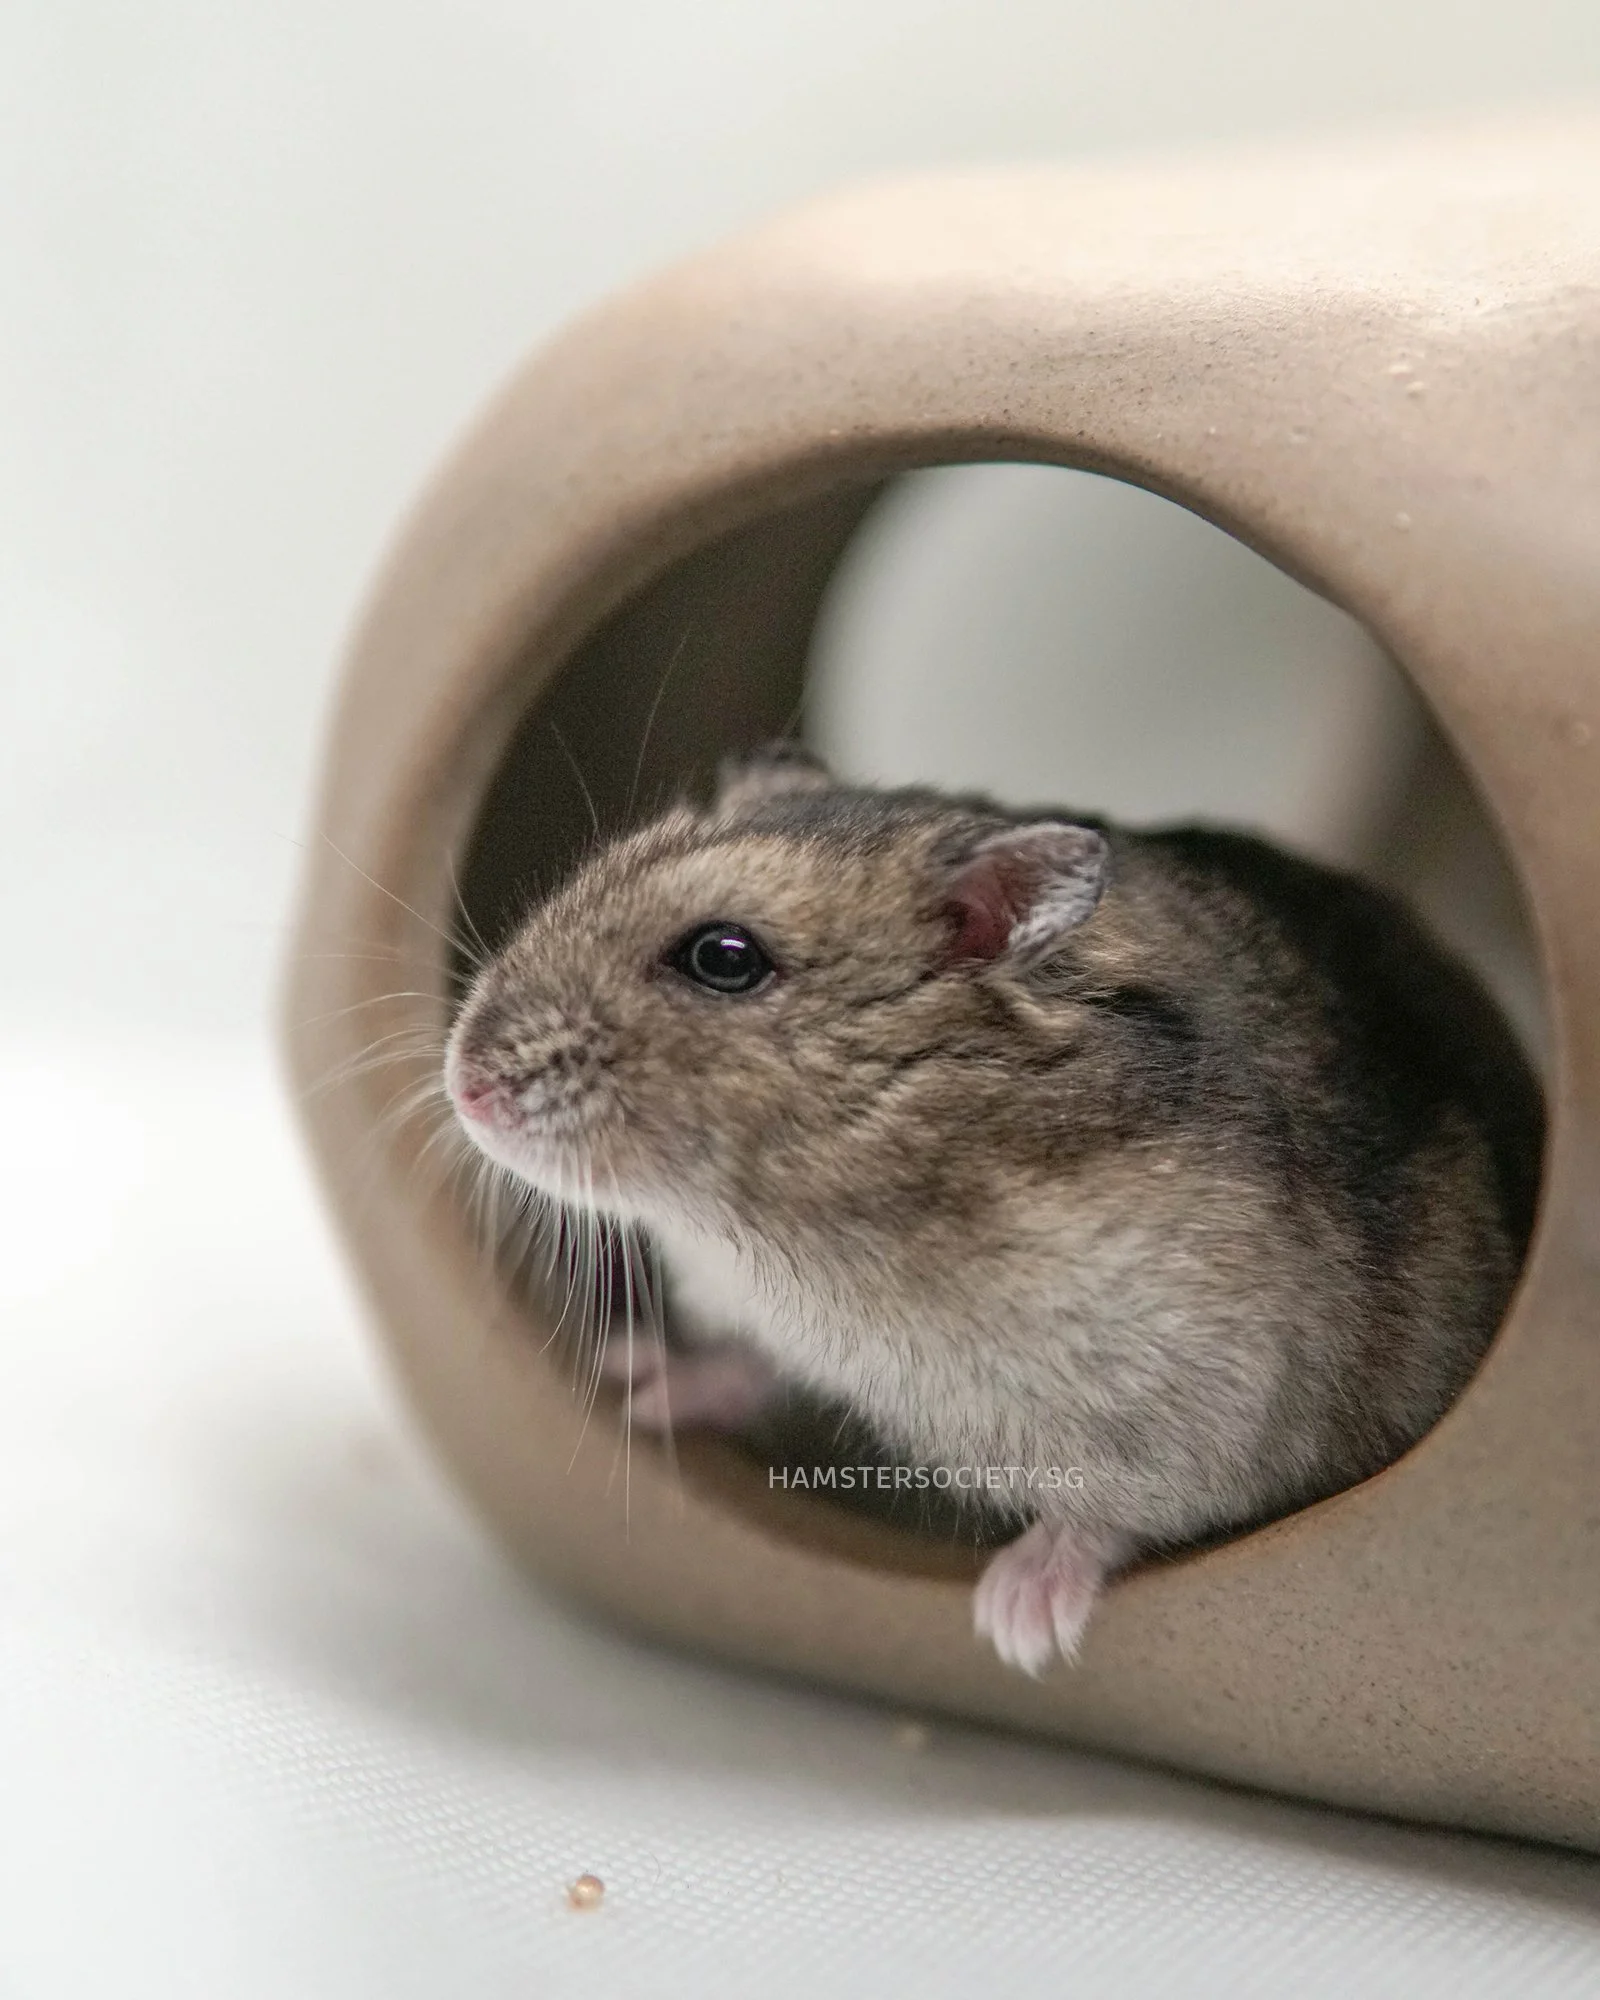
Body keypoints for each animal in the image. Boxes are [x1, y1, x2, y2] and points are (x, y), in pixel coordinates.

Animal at [445, 743, 1543, 1674]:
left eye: (724, 956)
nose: (464, 1083)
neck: (787, 1214)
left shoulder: (1203, 1393)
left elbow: (1116, 1510)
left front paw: (1017, 1621)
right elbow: (750, 1365)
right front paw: (632, 1384)